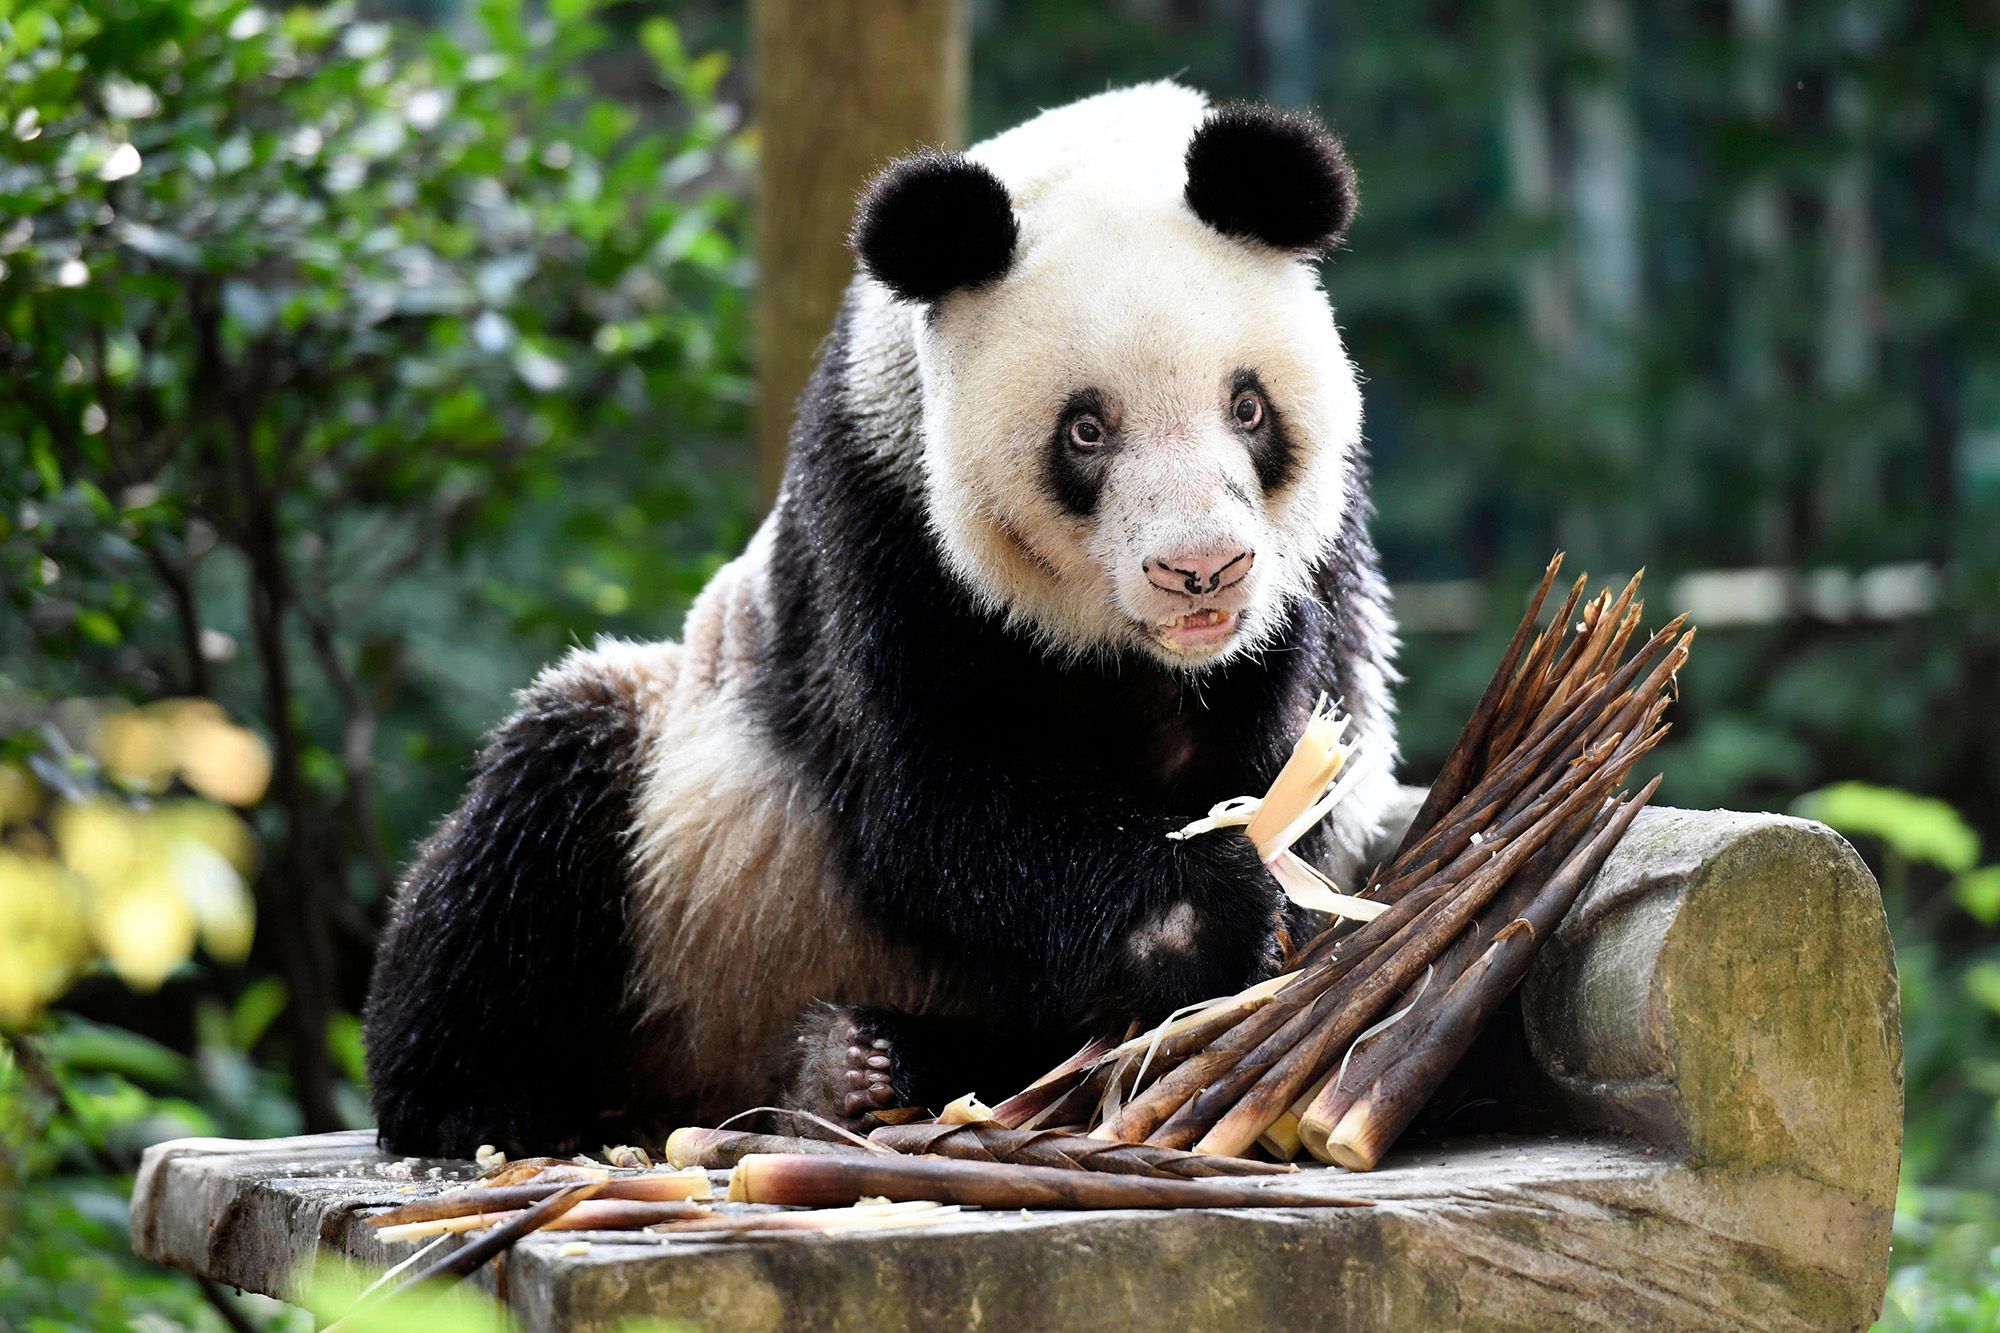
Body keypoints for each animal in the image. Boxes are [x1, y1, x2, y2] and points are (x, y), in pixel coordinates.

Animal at [362, 81, 1399, 1158]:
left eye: (1247, 407)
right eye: (1085, 430)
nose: (1200, 571)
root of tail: (694, 1075)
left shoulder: (1320, 561)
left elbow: (1295, 754)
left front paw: (1258, 890)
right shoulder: (883, 514)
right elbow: (931, 800)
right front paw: (1209, 905)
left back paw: (871, 1060)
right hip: (669, 825)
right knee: (528, 823)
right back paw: (481, 1097)